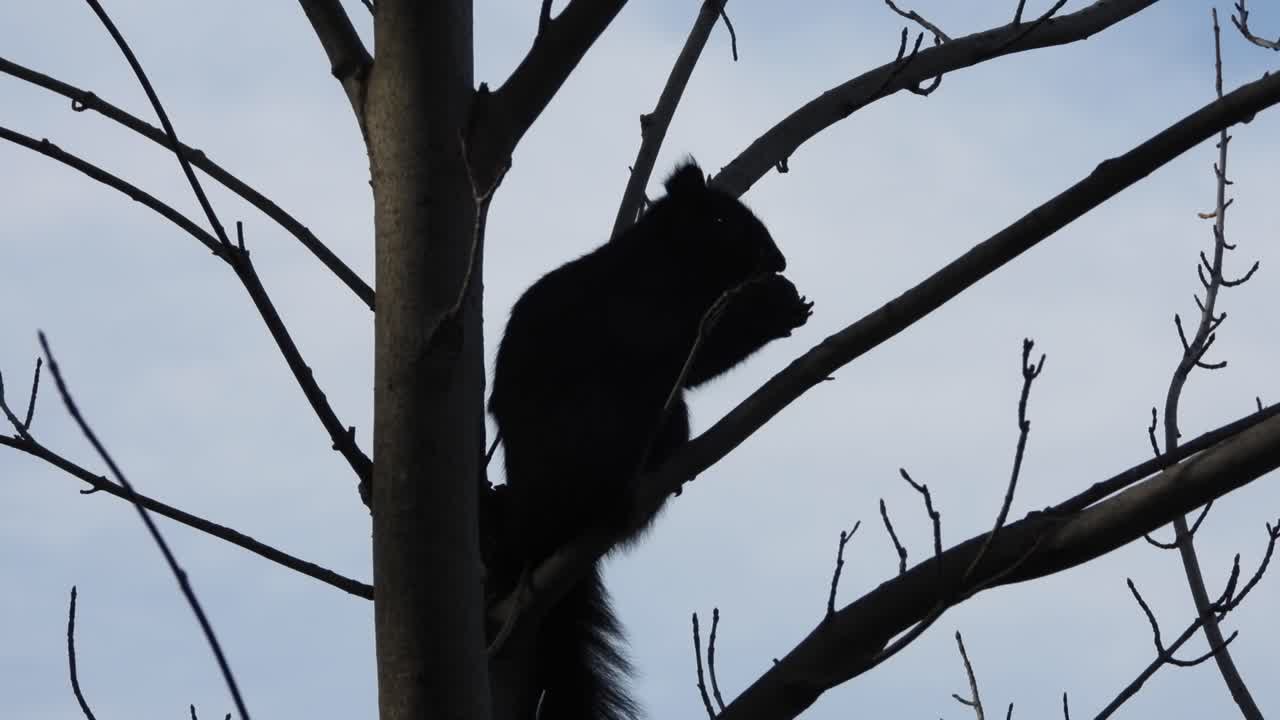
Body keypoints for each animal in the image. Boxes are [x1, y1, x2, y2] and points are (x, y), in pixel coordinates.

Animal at [486, 159, 812, 720]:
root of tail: (538, 531)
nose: (778, 260)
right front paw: (776, 307)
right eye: (722, 220)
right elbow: (688, 353)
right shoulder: (642, 313)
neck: (666, 261)